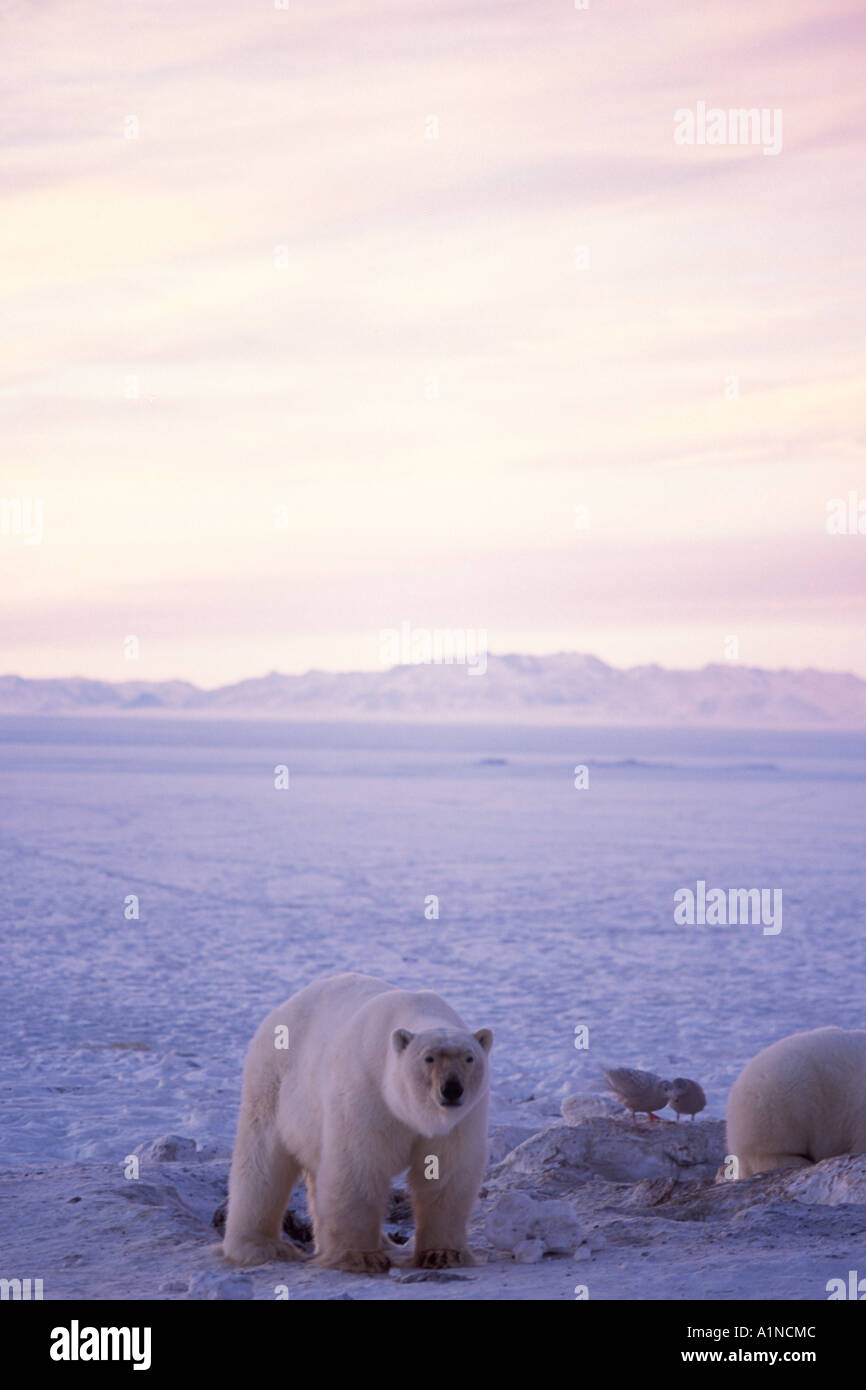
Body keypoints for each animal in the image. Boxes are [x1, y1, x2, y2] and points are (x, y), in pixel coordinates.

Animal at [222, 972, 493, 1272]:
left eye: (469, 1058)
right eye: (428, 1058)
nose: (452, 1089)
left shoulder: (462, 1119)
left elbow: (447, 1170)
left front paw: (442, 1254)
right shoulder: (366, 1090)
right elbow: (357, 1164)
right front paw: (361, 1257)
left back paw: (382, 1242)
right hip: (272, 1081)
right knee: (261, 1159)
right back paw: (261, 1246)